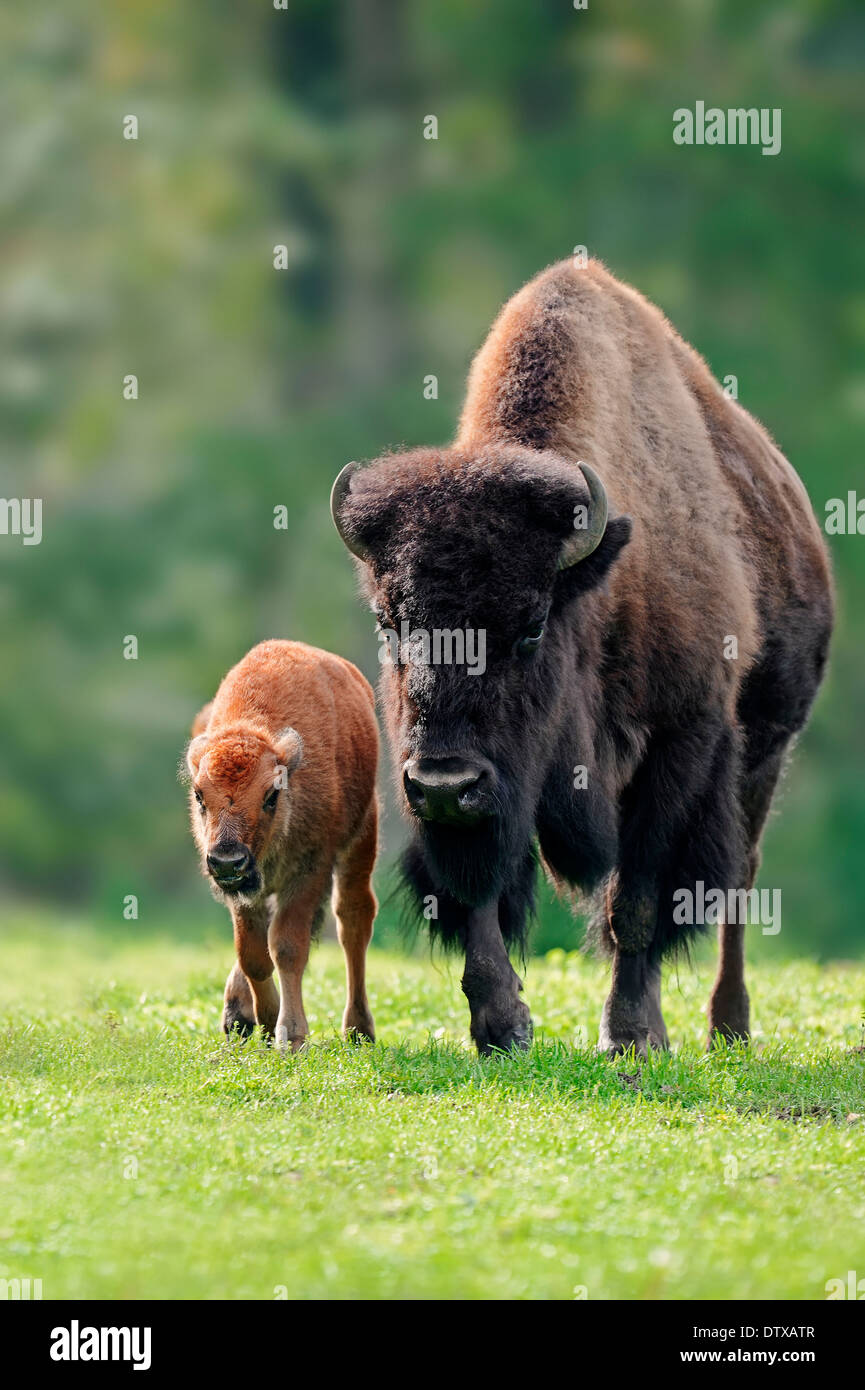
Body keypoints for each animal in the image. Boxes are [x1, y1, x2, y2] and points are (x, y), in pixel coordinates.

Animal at [331, 258, 833, 1056]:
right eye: (388, 624)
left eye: (532, 628)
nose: (444, 782)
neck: (597, 589)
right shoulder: (492, 790)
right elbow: (482, 889)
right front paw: (500, 1024)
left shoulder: (682, 742)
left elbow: (639, 899)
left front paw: (627, 1036)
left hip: (765, 753)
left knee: (737, 879)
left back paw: (726, 1026)